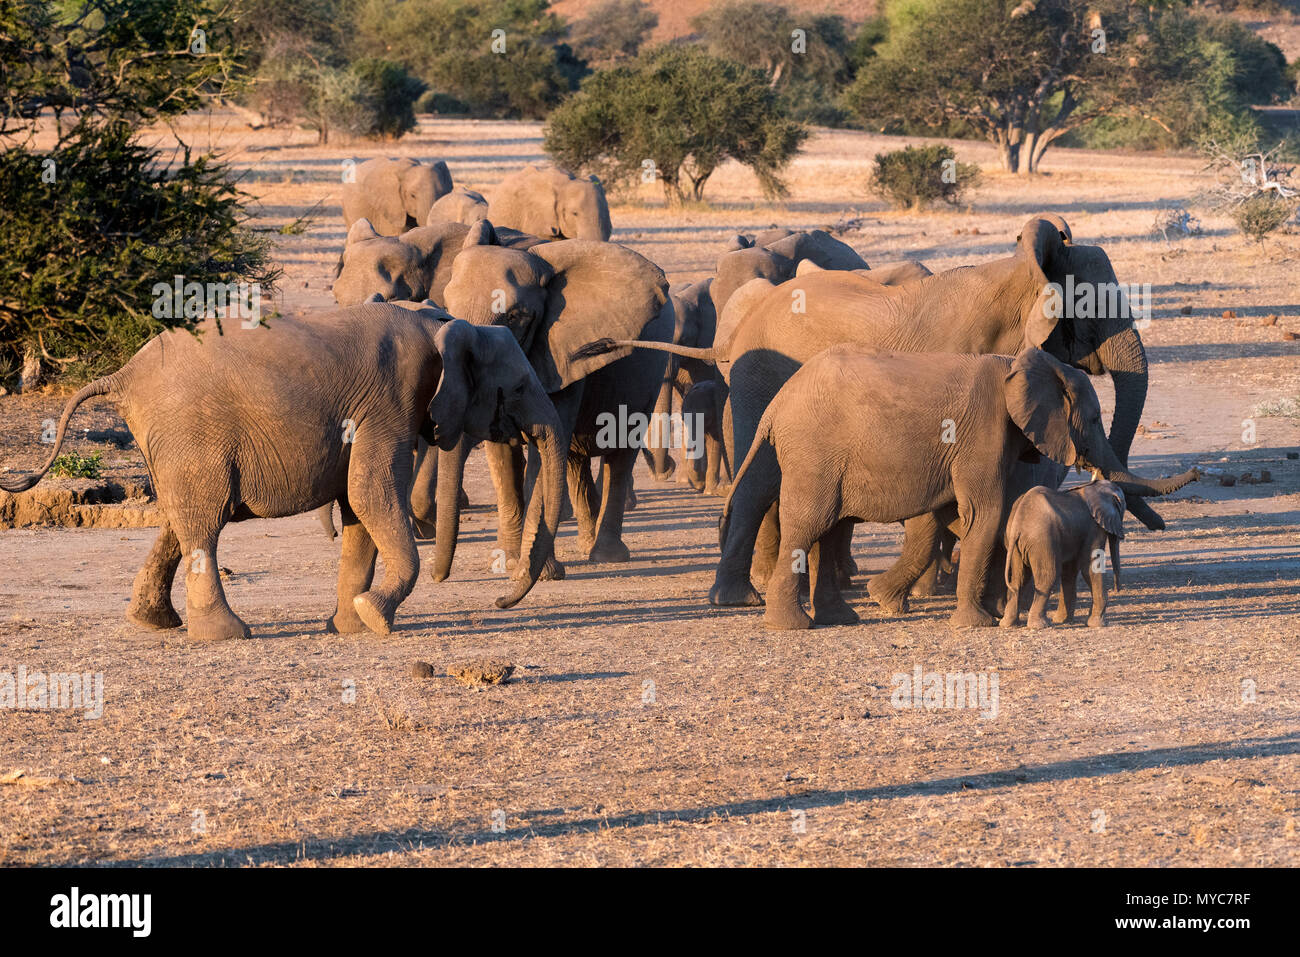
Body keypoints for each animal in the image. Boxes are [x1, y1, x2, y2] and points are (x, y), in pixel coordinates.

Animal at [0, 307, 565, 642]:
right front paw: (374, 618)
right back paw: (227, 635)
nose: (500, 600)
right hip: (192, 429)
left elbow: (358, 508)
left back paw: (154, 624)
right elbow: (372, 494)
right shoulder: (390, 403)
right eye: (517, 388)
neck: (444, 323)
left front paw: (349, 626)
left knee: (180, 519)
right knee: (204, 520)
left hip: (174, 439)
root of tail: (124, 374)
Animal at [431, 236, 674, 579]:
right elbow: (503, 458)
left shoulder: (561, 355)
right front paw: (508, 562)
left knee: (621, 453)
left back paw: (607, 556)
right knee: (573, 458)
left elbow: (542, 449)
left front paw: (537, 572)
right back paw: (586, 544)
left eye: (516, 317)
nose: (437, 576)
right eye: (446, 310)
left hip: (649, 375)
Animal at [1001, 476, 1126, 629]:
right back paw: (1039, 625)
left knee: (1019, 578)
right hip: (1042, 540)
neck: (1094, 488)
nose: (1117, 589)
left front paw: (1063, 621)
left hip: (1014, 542)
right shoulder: (1094, 528)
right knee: (1048, 575)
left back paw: (1008, 624)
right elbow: (1089, 568)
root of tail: (1018, 522)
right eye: (1122, 509)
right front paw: (1098, 624)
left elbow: (1070, 571)